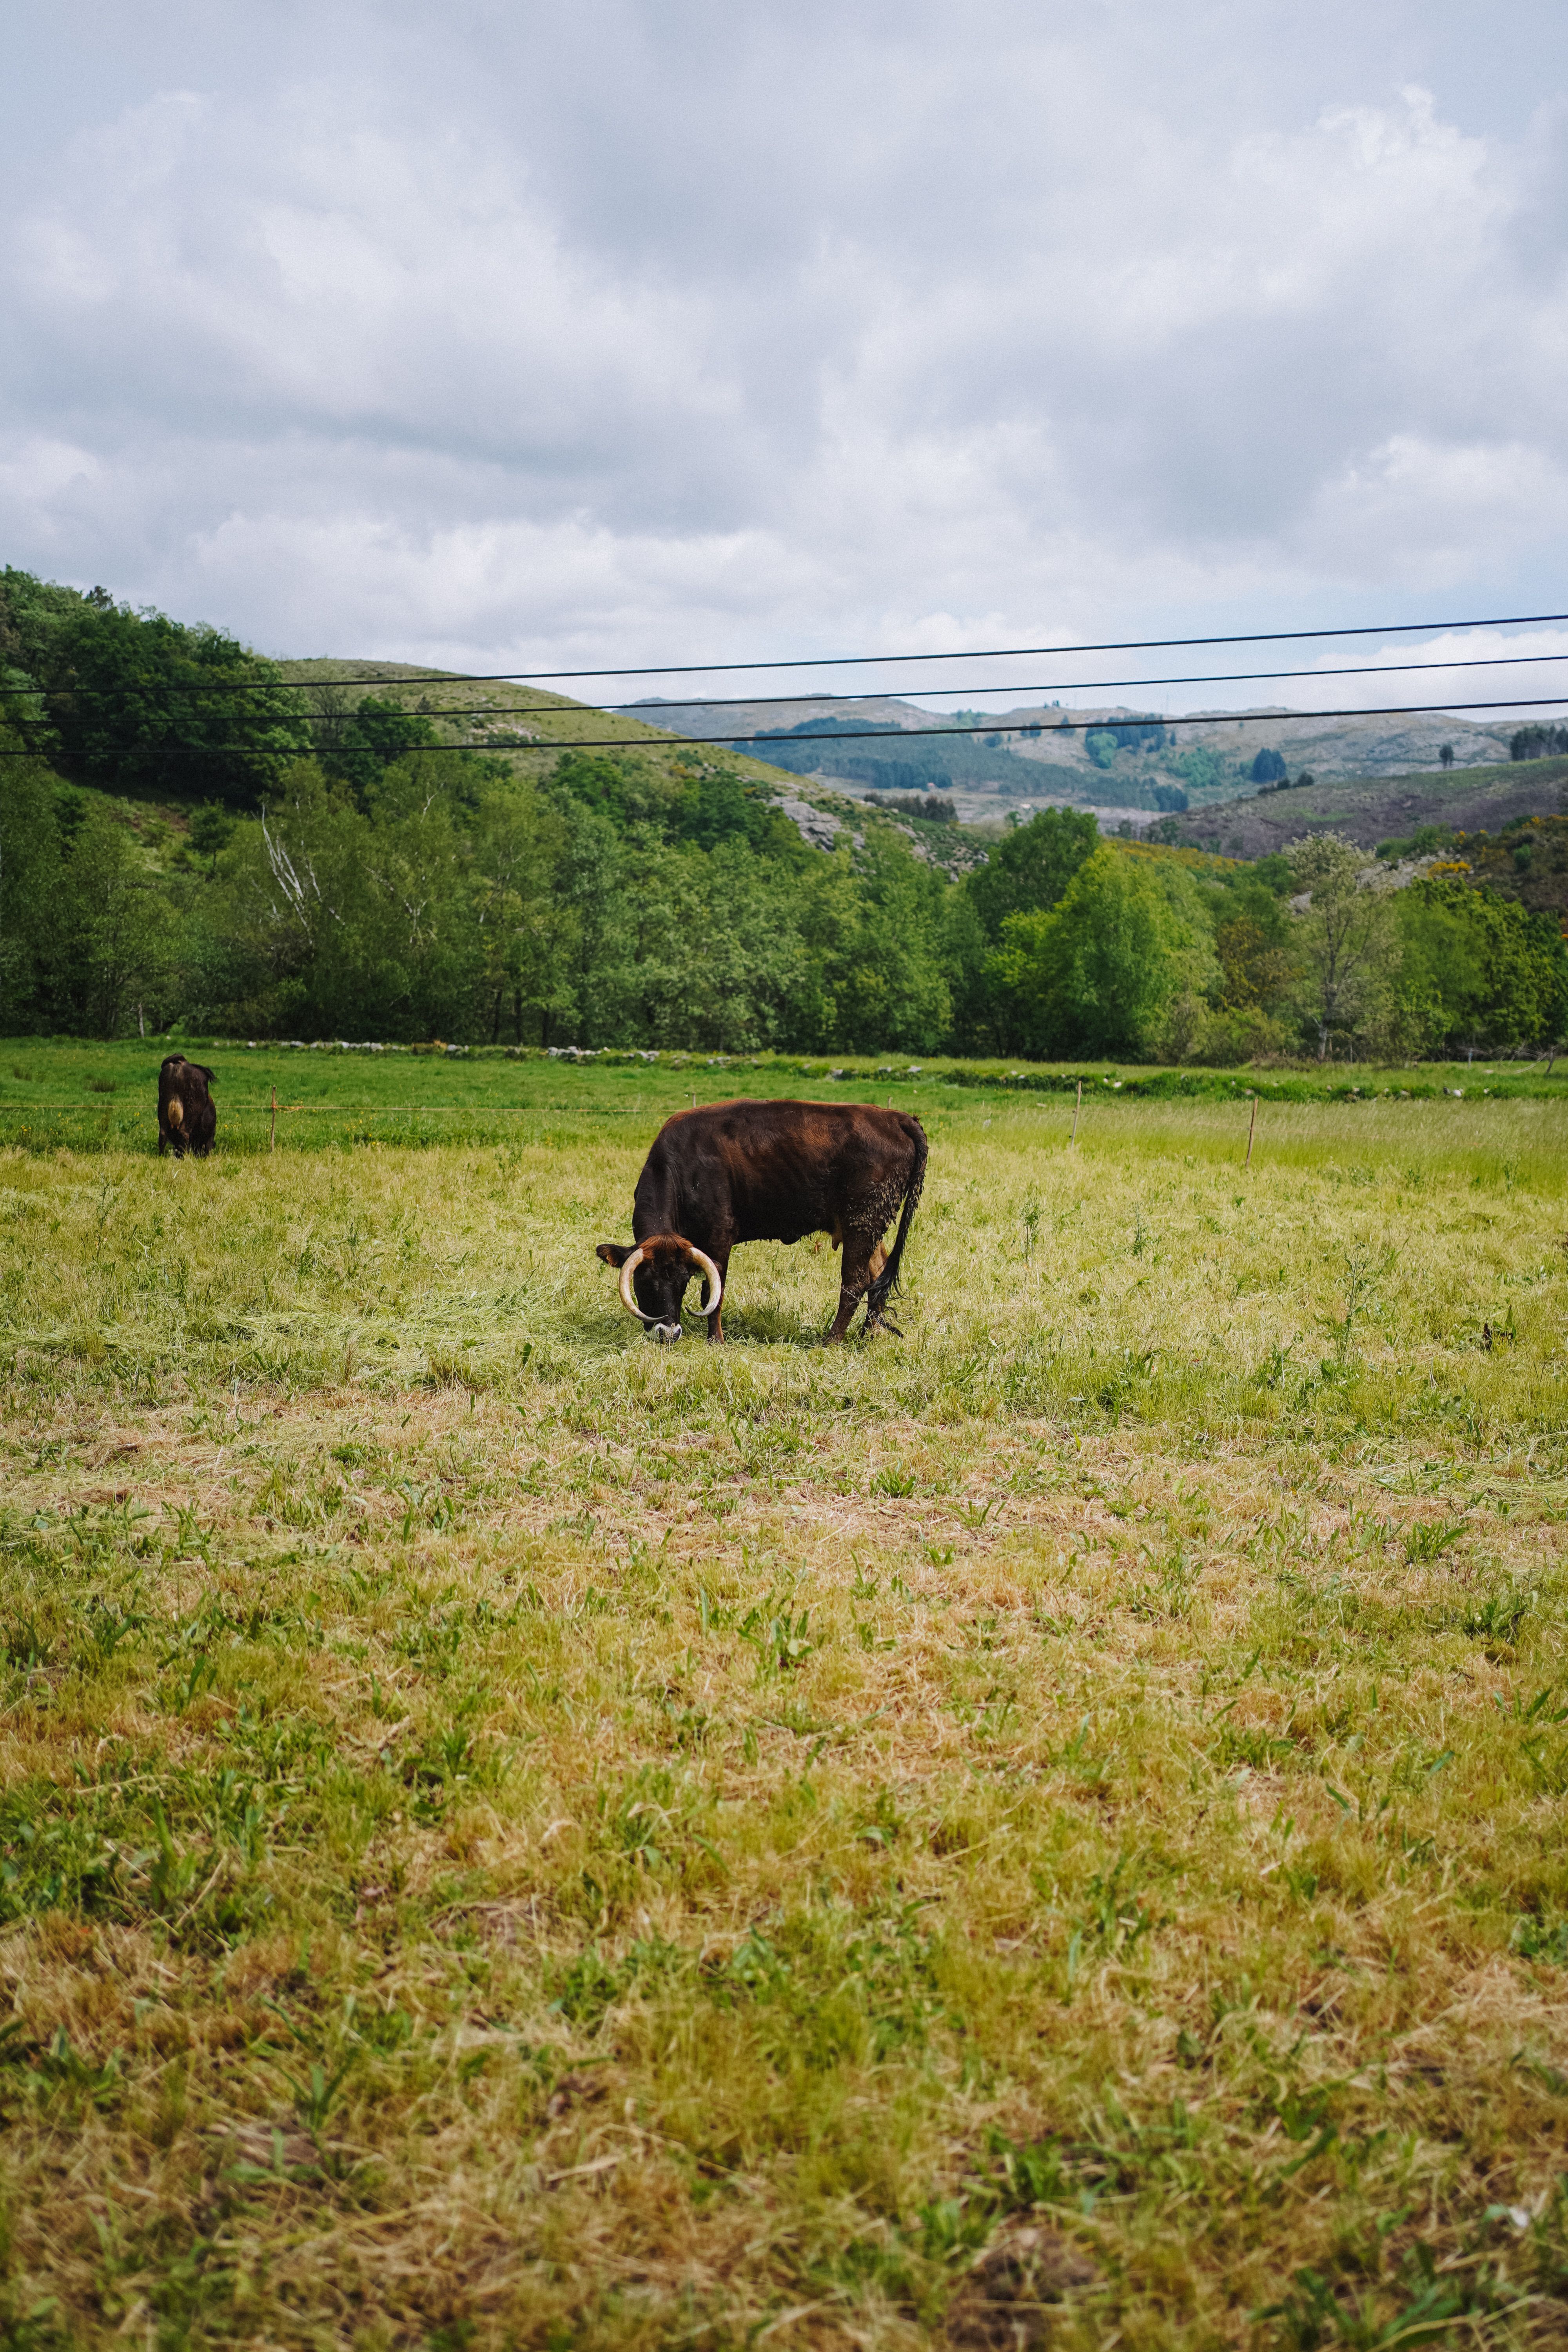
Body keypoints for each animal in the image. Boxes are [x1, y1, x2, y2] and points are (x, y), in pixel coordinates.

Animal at [596, 1098, 927, 1344]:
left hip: (862, 1223)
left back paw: (831, 1341)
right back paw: (868, 1336)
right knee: (878, 1275)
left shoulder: (720, 1236)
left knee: (855, 1282)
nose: (669, 1334)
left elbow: (714, 1292)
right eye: (645, 1281)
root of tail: (894, 1118)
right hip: (866, 1227)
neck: (679, 1166)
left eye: (681, 1281)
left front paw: (716, 1341)